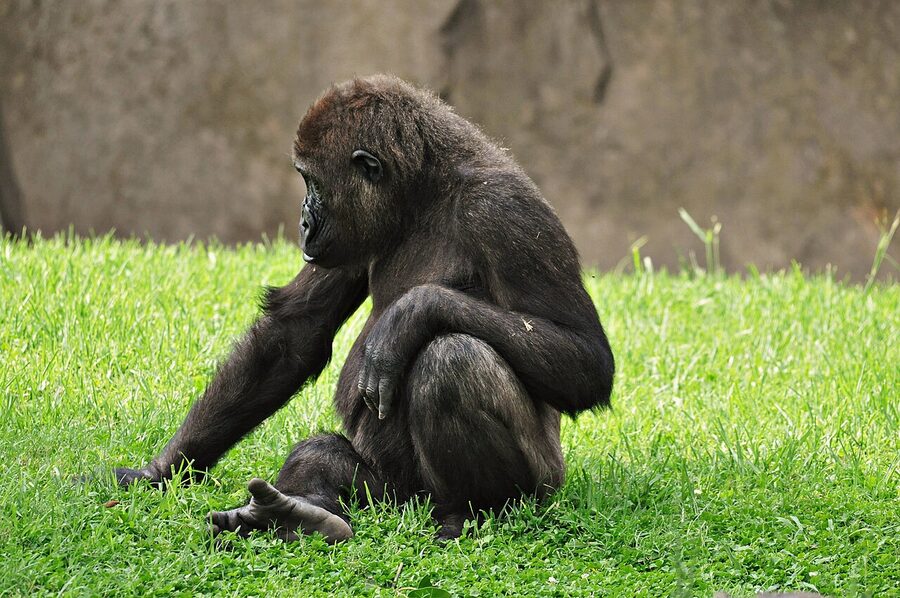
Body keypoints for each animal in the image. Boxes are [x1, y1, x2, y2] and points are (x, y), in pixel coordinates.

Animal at [112, 74, 615, 542]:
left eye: (311, 181)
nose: (302, 220)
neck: (424, 189)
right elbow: (294, 332)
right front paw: (161, 471)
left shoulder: (505, 210)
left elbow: (585, 358)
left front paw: (410, 314)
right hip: (391, 496)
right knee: (323, 456)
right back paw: (300, 512)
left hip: (538, 485)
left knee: (453, 360)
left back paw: (473, 513)